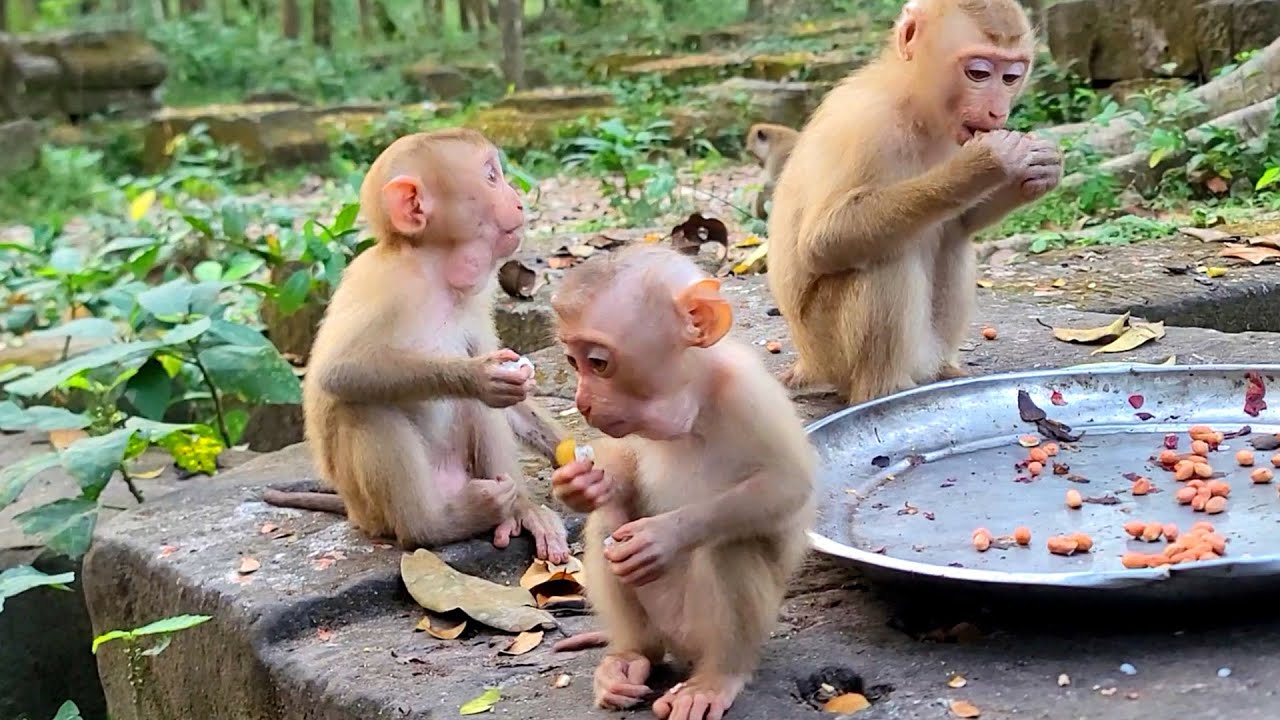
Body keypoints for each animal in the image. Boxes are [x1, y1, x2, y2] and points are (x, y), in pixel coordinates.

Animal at [262, 128, 570, 563]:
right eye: (491, 177)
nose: (517, 199)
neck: (435, 268)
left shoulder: (476, 300)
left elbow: (510, 400)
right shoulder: (387, 284)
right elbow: (338, 370)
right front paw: (479, 377)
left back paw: (520, 509)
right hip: (373, 510)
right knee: (364, 405)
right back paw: (439, 524)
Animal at [547, 245, 817, 720]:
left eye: (598, 363)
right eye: (572, 363)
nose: (582, 402)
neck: (687, 402)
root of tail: (682, 650)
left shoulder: (748, 395)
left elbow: (787, 485)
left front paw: (663, 536)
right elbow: (622, 466)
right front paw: (581, 485)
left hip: (702, 628)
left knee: (730, 544)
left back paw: (716, 678)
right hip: (660, 623)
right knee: (608, 524)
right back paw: (632, 657)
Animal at [766, 0, 1062, 405]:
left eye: (1011, 77)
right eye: (979, 73)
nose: (997, 112)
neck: (913, 104)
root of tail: (806, 364)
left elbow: (961, 220)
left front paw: (1041, 168)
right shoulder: (865, 125)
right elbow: (823, 240)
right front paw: (985, 163)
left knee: (951, 238)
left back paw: (941, 372)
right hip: (825, 347)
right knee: (885, 258)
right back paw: (882, 391)